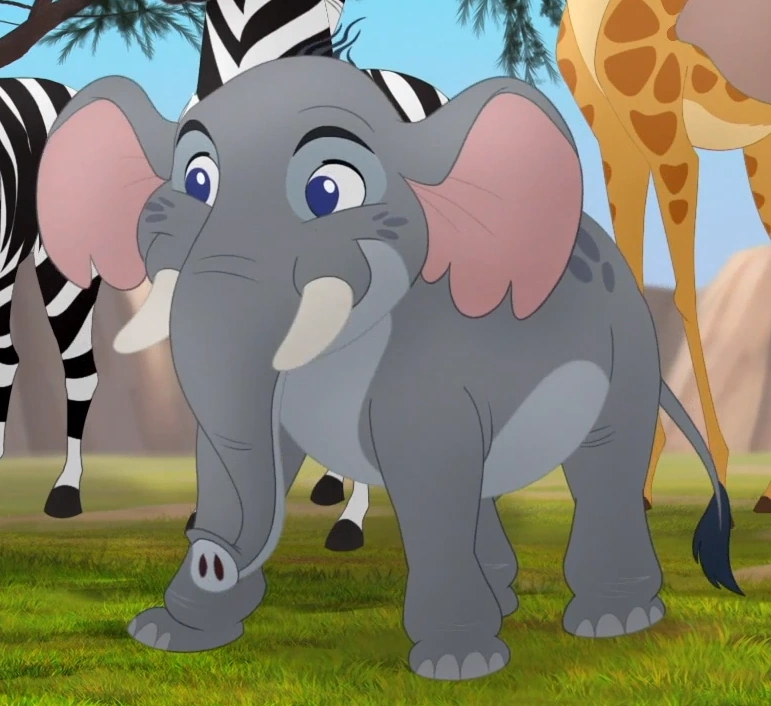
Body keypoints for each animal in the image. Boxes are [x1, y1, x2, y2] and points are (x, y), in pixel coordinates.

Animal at [36, 57, 743, 681]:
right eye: (197, 181)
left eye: (328, 191)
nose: (210, 556)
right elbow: (231, 454)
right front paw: (168, 633)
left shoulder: (427, 363)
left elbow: (429, 474)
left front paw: (458, 664)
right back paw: (506, 601)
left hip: (628, 351)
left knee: (604, 463)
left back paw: (614, 619)